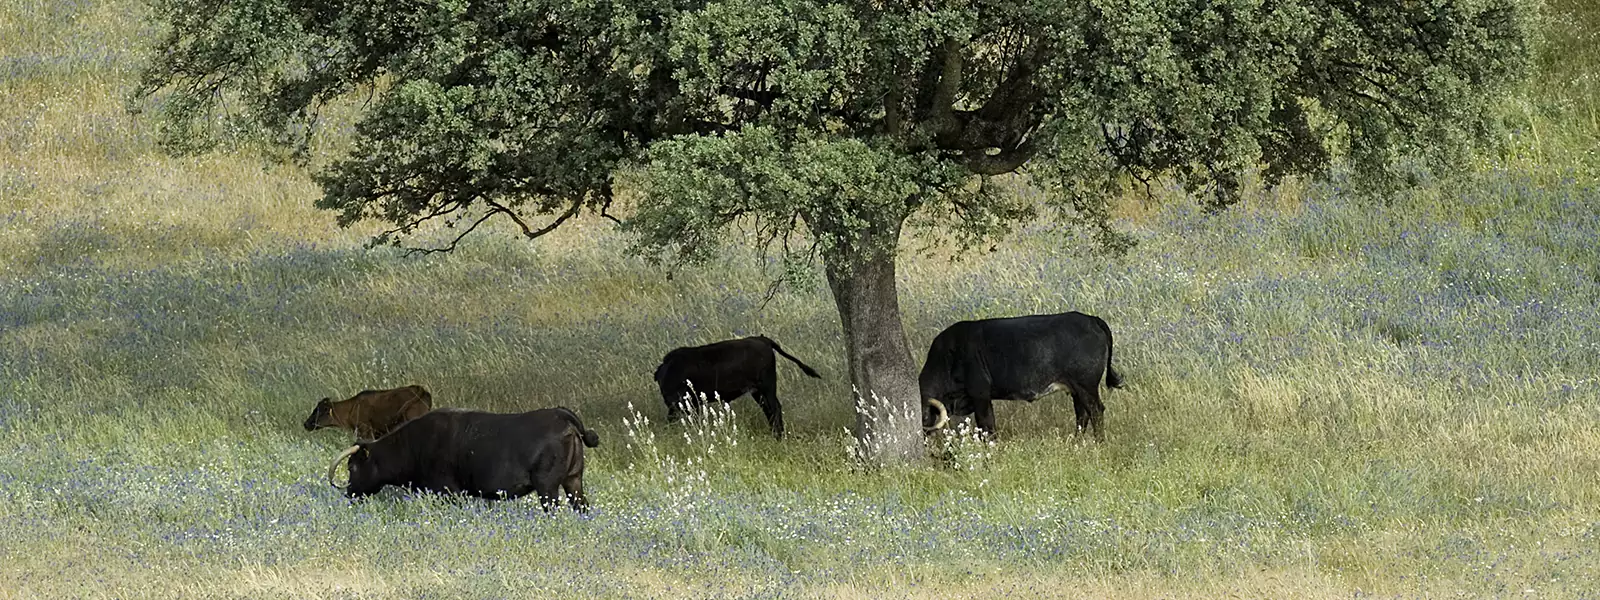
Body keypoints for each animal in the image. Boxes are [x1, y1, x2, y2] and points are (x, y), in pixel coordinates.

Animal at [325, 407, 601, 511]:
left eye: (352, 467)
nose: (349, 493)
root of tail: (559, 415)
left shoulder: (448, 491)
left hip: (548, 487)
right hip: (573, 481)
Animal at [652, 335, 821, 438]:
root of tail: (762, 339)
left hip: (767, 387)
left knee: (775, 408)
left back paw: (779, 436)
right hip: (758, 392)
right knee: (769, 410)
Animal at [919, 311, 1123, 439]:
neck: (948, 355)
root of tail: (1091, 319)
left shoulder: (980, 396)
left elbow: (987, 425)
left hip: (1086, 386)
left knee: (1095, 411)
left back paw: (1099, 443)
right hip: (1076, 389)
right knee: (1082, 414)